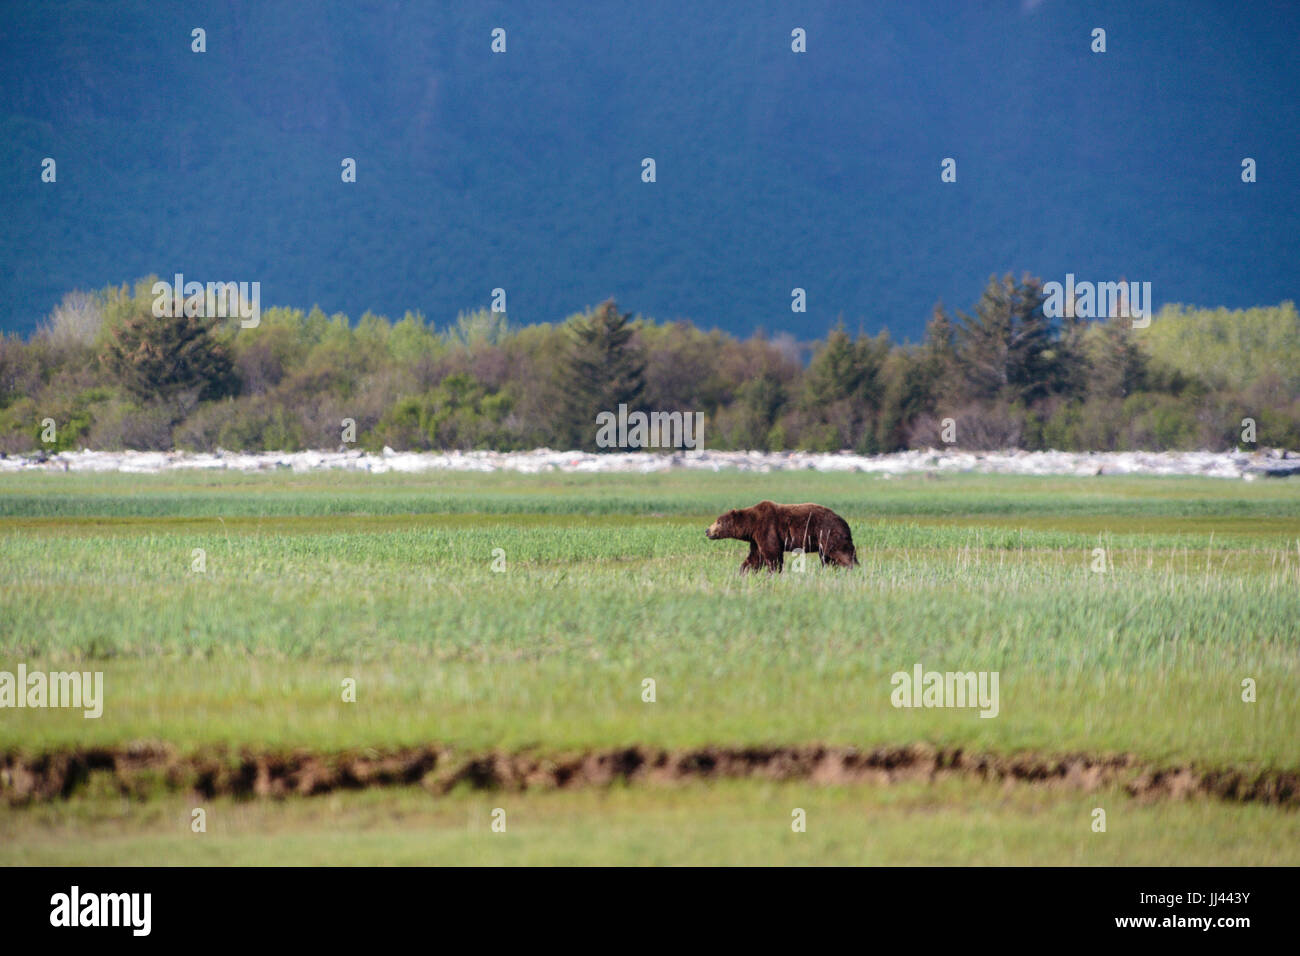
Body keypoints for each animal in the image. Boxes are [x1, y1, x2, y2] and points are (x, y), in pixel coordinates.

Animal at [706, 500, 858, 573]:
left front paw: (772, 572)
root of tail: (844, 521)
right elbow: (755, 557)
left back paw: (852, 568)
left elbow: (772, 554)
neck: (752, 525)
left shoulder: (767, 527)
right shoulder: (756, 538)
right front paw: (743, 571)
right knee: (828, 559)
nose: (707, 530)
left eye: (718, 522)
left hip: (828, 532)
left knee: (841, 552)